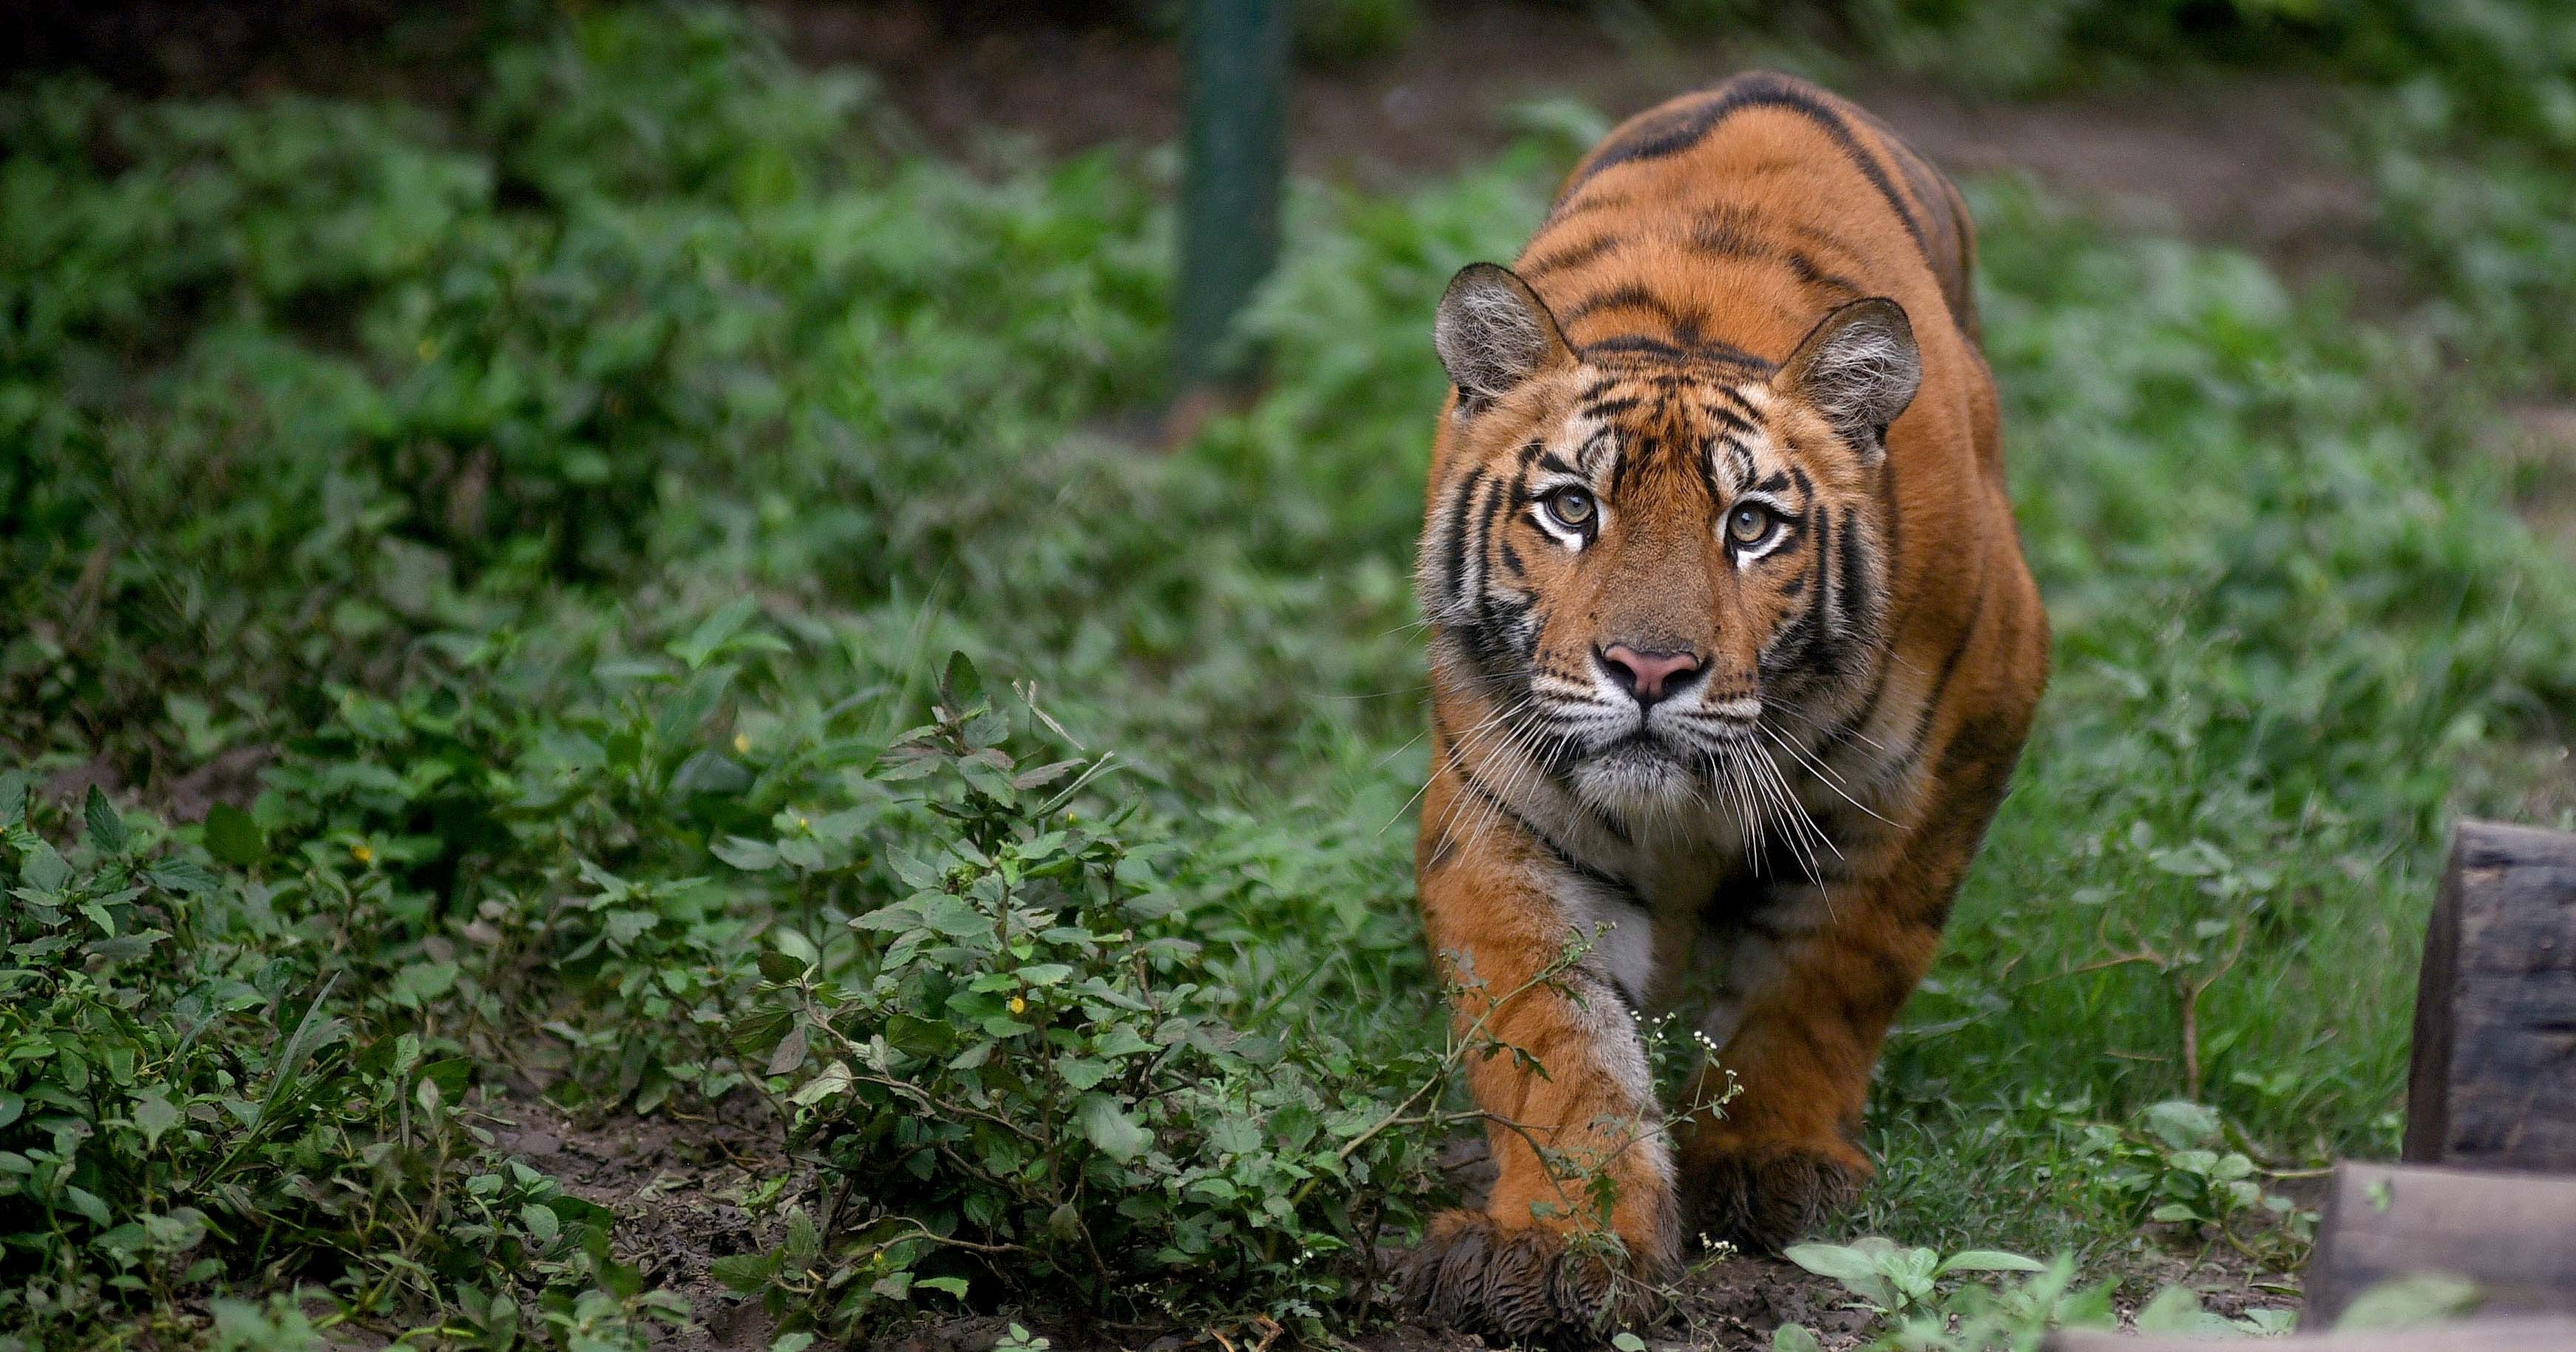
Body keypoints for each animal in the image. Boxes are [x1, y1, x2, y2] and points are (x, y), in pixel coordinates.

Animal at [1400, 72, 2049, 1343]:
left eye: (1752, 525)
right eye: (1570, 508)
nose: (1649, 671)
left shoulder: (1947, 756)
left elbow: (1831, 971)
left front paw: (1765, 1158)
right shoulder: (1502, 808)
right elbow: (1553, 1038)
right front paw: (1563, 1243)